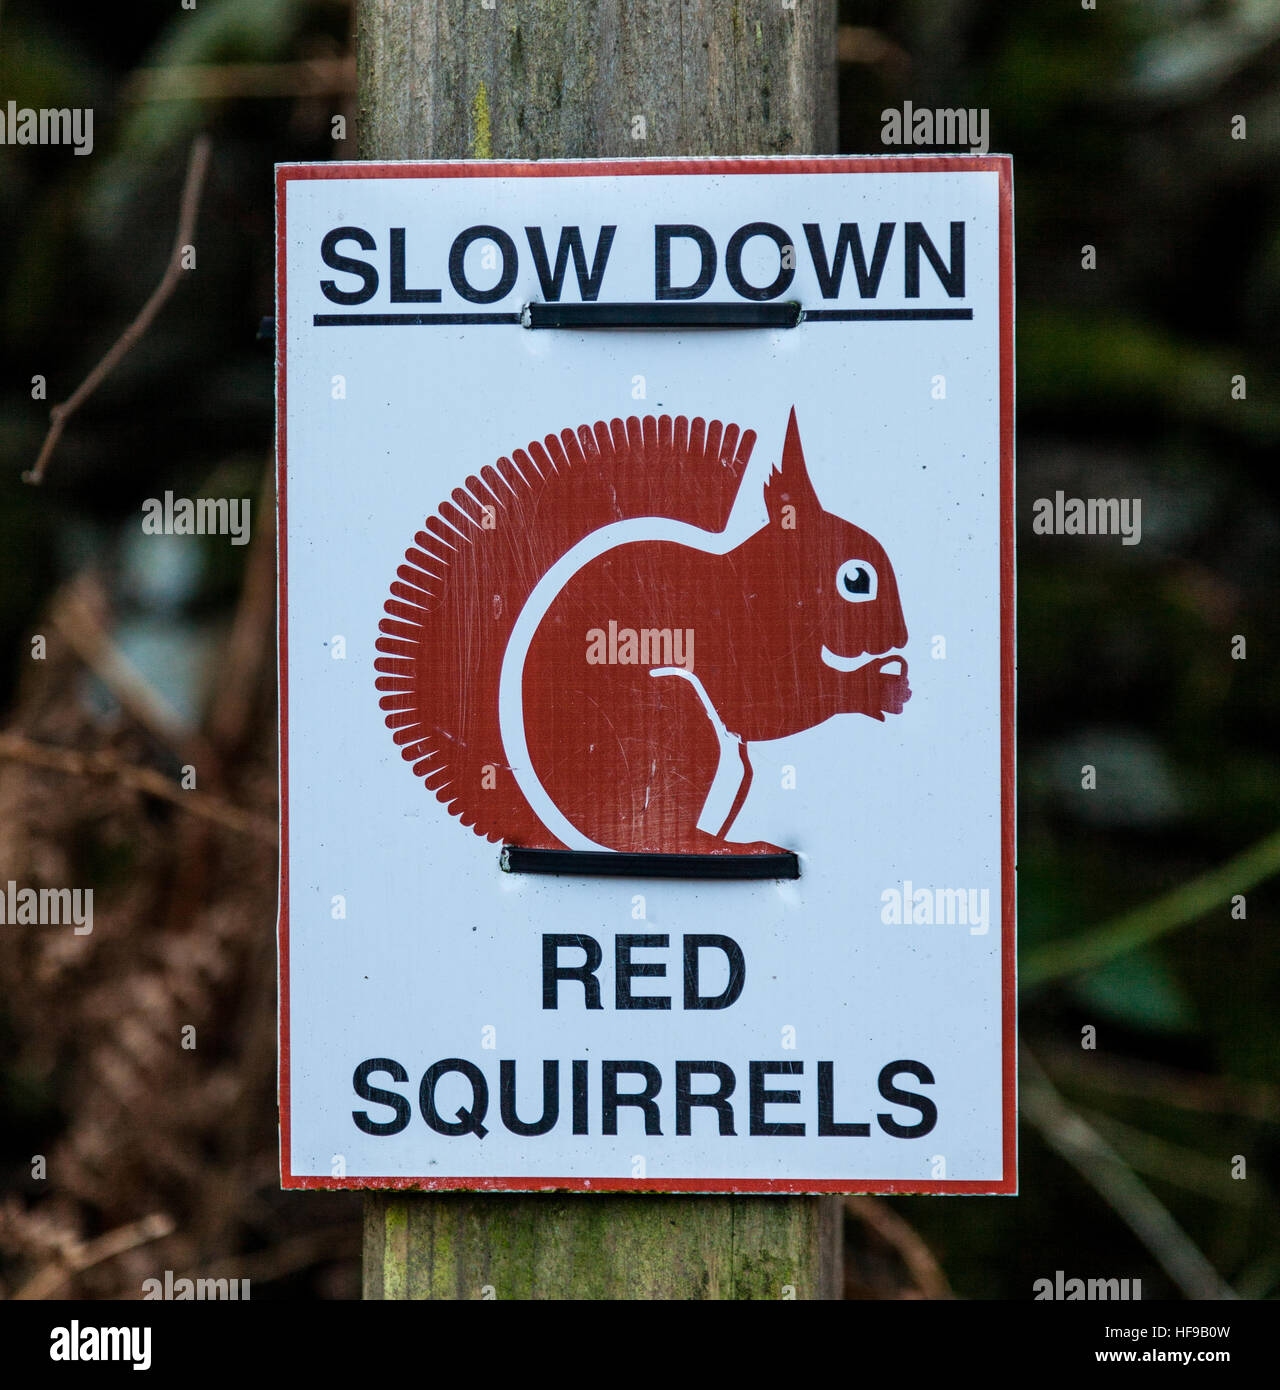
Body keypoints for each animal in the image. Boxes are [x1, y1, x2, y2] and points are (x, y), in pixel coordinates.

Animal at [375, 408, 909, 856]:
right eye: (855, 579)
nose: (899, 640)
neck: (759, 583)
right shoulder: (726, 635)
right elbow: (764, 708)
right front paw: (874, 685)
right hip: (672, 721)